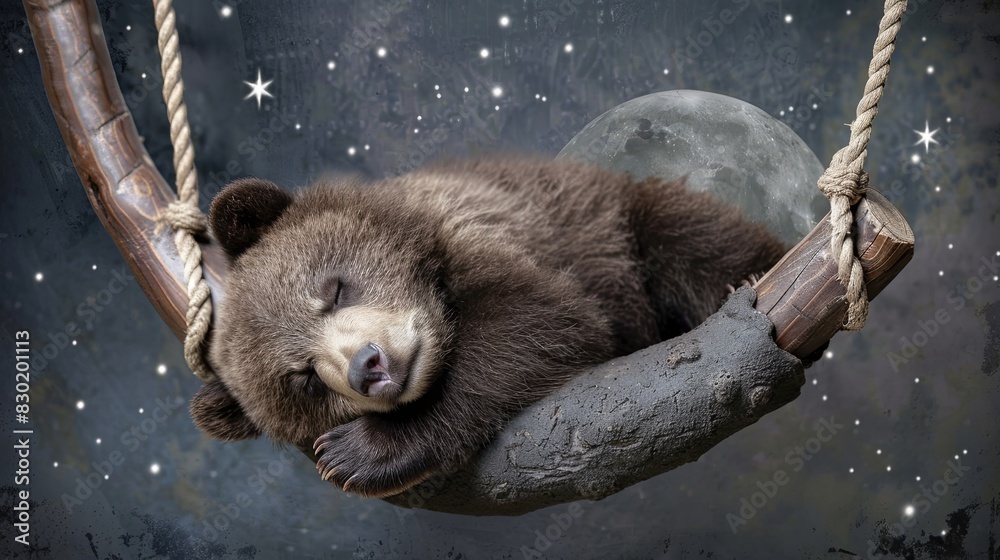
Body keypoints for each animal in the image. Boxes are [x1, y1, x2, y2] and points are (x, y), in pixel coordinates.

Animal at [189, 157, 787, 498]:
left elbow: (537, 320)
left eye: (334, 290)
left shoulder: (488, 230)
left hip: (625, 220)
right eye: (305, 378)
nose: (369, 366)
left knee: (692, 235)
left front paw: (359, 453)